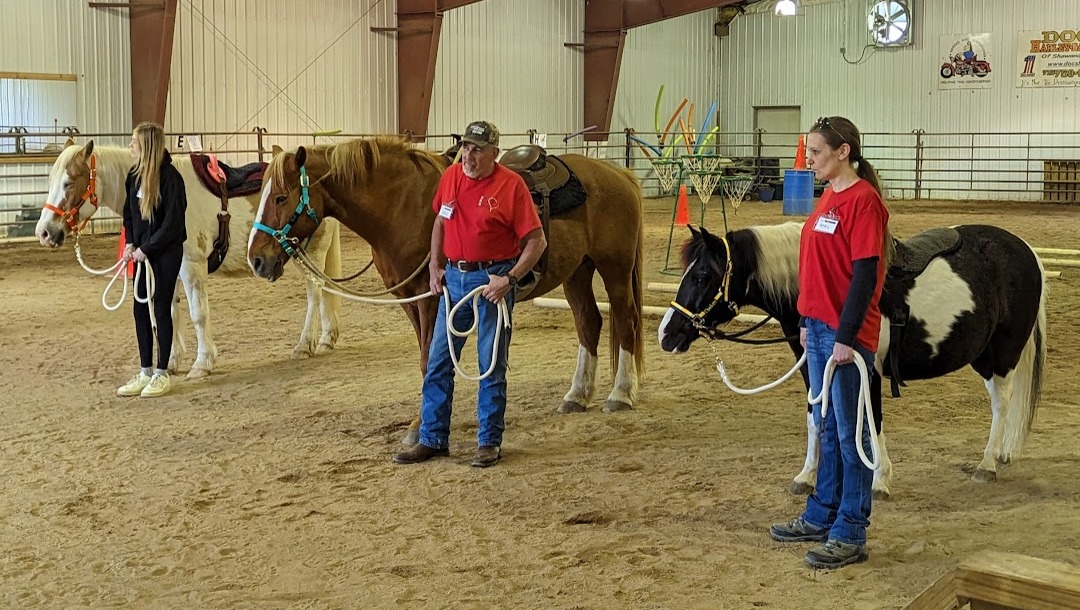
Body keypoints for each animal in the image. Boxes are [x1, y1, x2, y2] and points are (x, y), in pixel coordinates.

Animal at [36, 140, 344, 378]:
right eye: (50, 181)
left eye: (68, 182)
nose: (44, 232)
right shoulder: (165, 267)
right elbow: (169, 311)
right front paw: (171, 362)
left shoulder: (191, 266)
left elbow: (198, 314)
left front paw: (202, 363)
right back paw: (326, 339)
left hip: (312, 252)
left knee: (315, 294)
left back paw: (304, 345)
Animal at [247, 136, 645, 444]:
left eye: (280, 198)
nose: (257, 260)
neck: (403, 205)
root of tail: (617, 174)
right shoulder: (410, 299)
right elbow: (428, 360)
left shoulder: (432, 297)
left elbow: (430, 358)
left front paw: (419, 426)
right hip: (577, 272)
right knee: (589, 323)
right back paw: (577, 395)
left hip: (614, 268)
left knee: (625, 321)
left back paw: (621, 394)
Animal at [658, 223, 1047, 497]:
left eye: (702, 275)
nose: (666, 333)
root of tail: (1025, 250)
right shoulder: (815, 367)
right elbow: (817, 417)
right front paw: (807, 476)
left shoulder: (867, 370)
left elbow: (870, 421)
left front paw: (880, 480)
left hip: (1001, 355)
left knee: (1002, 404)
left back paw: (987, 464)